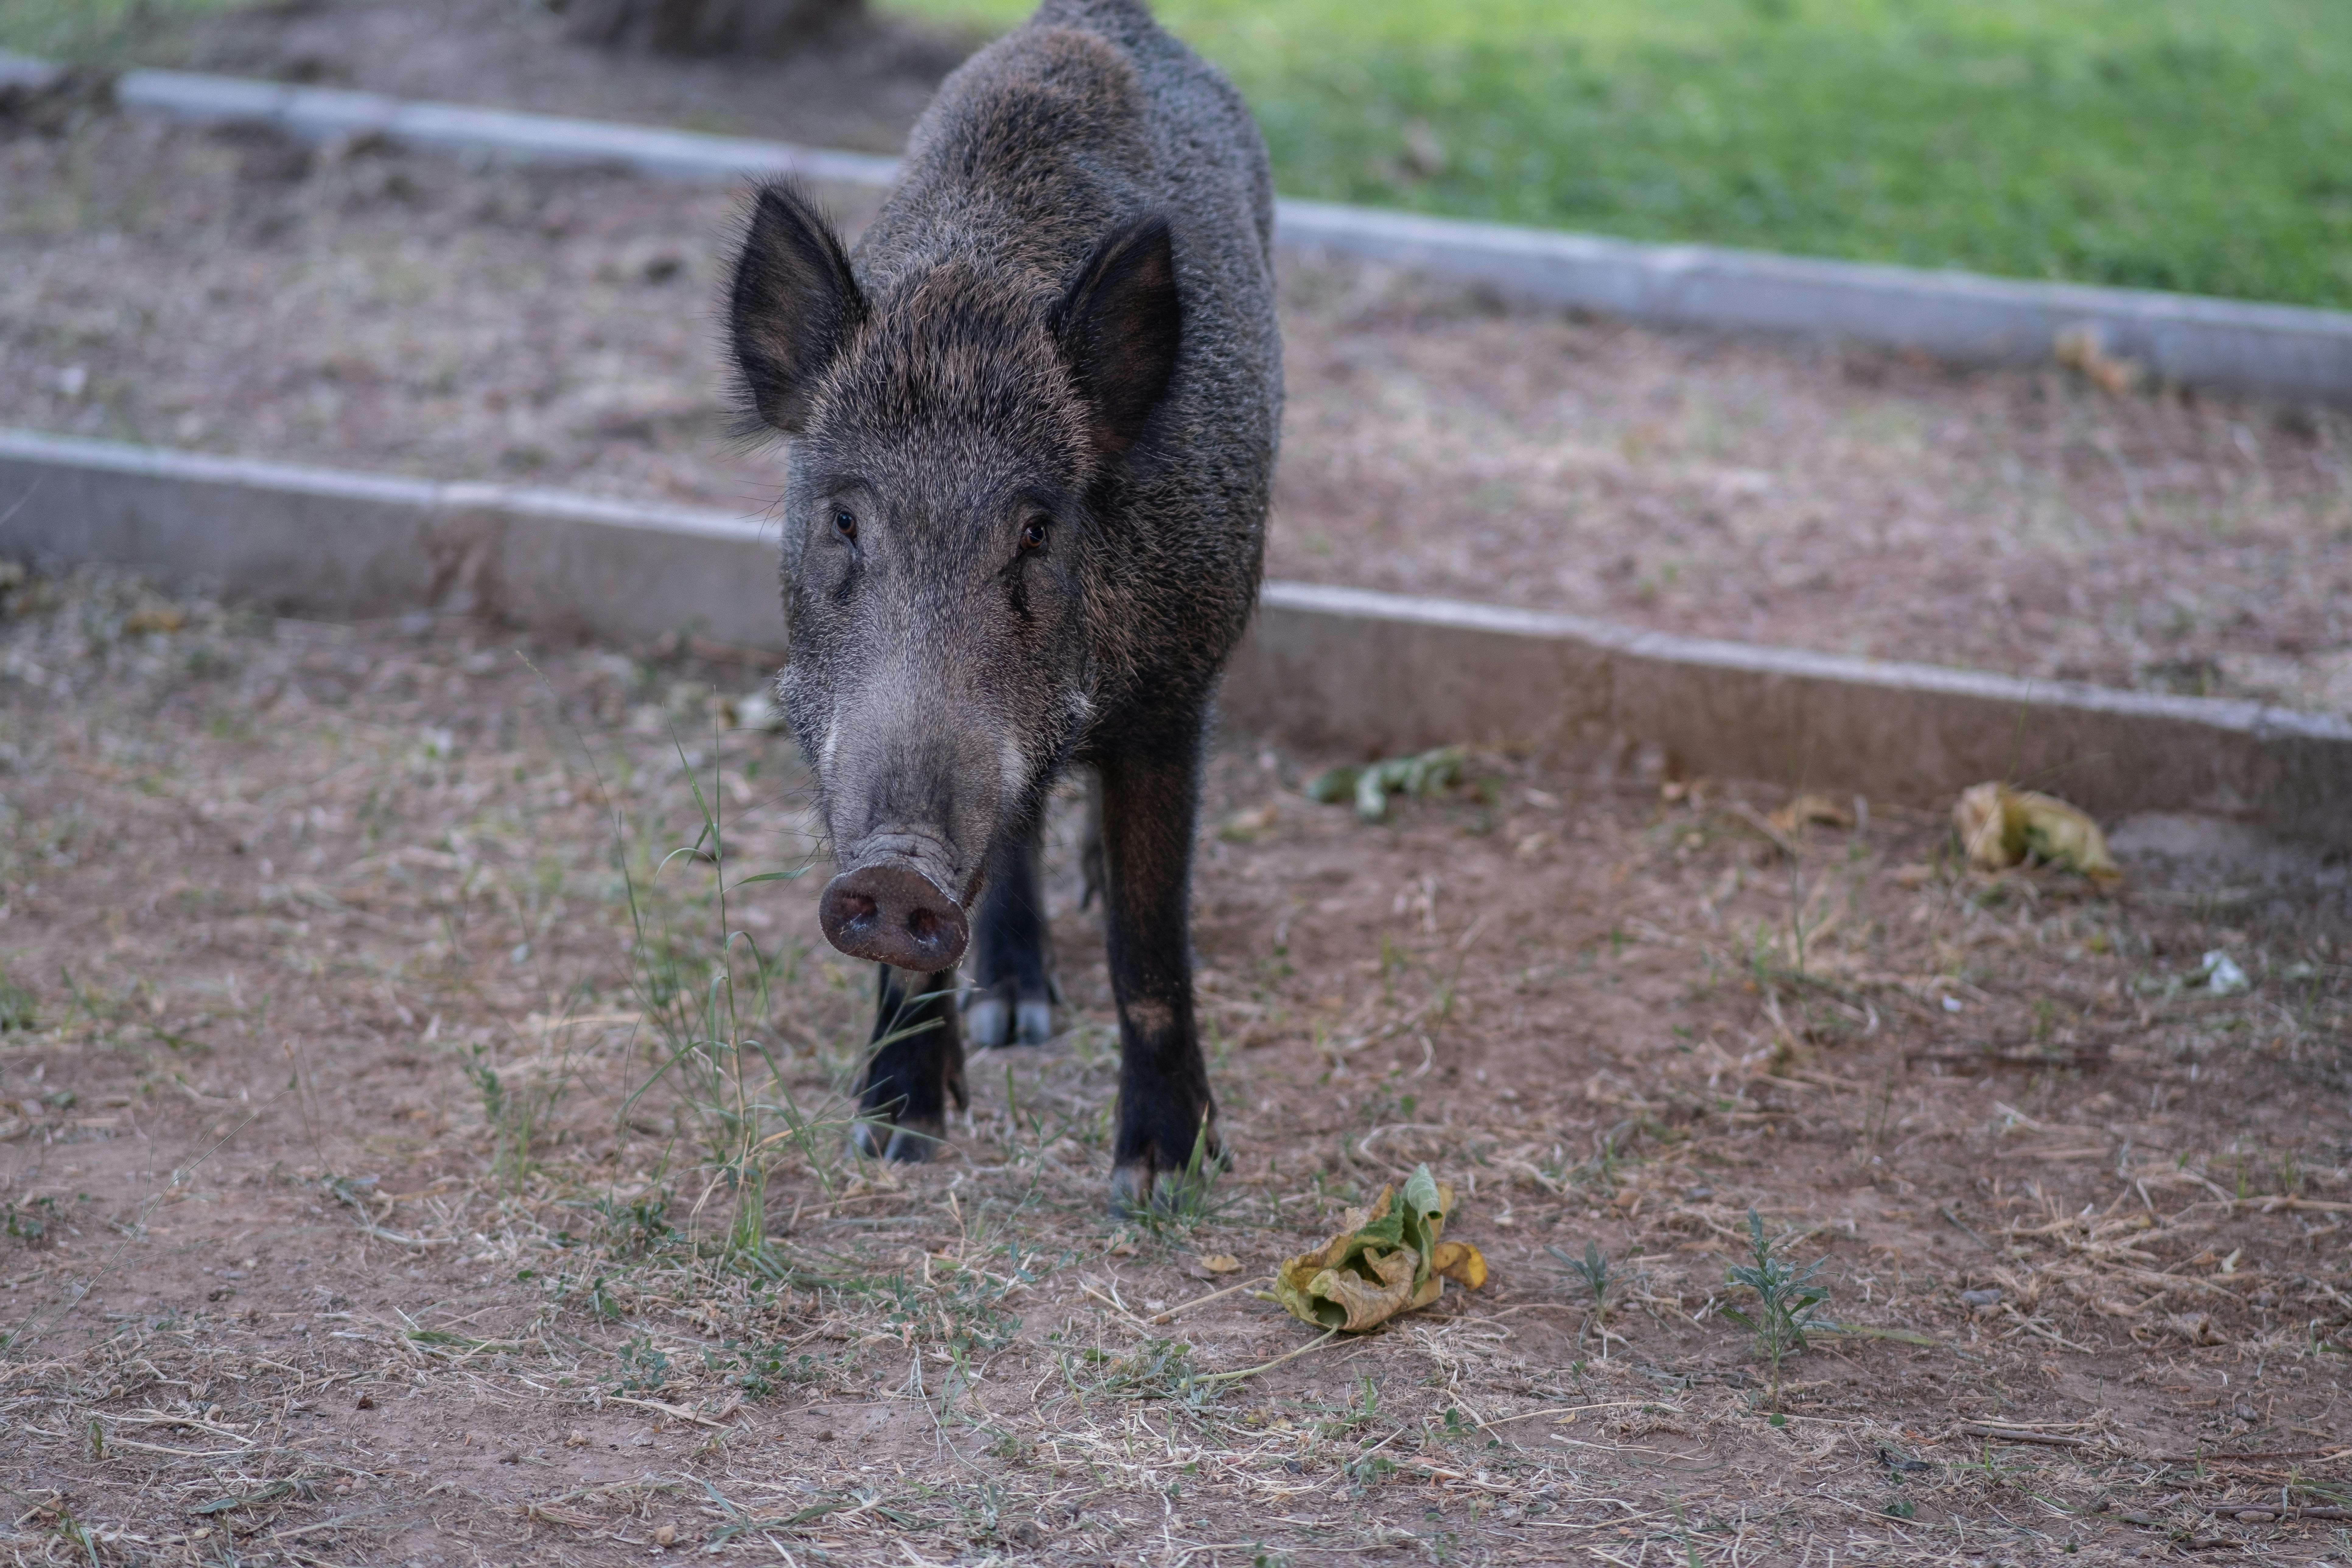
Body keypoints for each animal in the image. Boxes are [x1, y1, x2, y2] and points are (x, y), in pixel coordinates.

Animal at [725, 0, 1280, 1209]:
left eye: (1036, 529)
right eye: (844, 518)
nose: (894, 870)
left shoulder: (1176, 694)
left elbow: (1150, 943)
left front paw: (1159, 1180)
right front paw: (895, 1134)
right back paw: (1015, 1011)